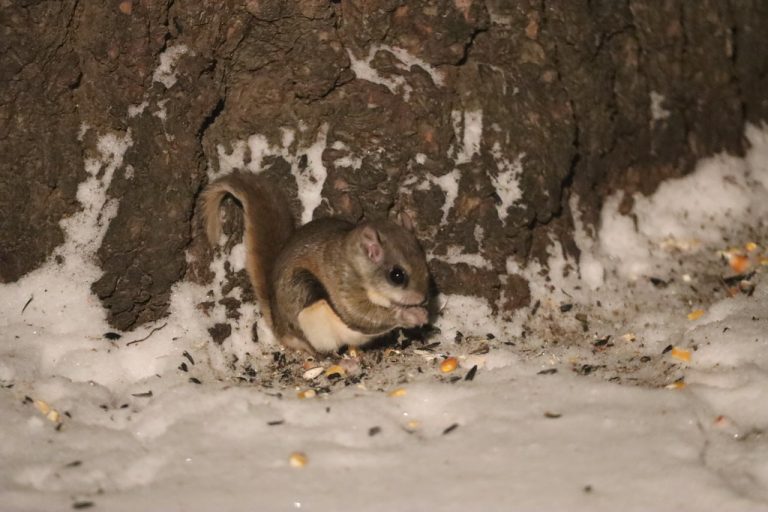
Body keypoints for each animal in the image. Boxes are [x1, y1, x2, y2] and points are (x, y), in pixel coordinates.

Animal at [200, 170, 430, 354]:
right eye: (397, 275)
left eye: (424, 262)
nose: (422, 298)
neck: (357, 264)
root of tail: (278, 327)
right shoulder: (345, 285)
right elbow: (362, 315)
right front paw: (411, 314)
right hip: (305, 302)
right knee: (315, 349)